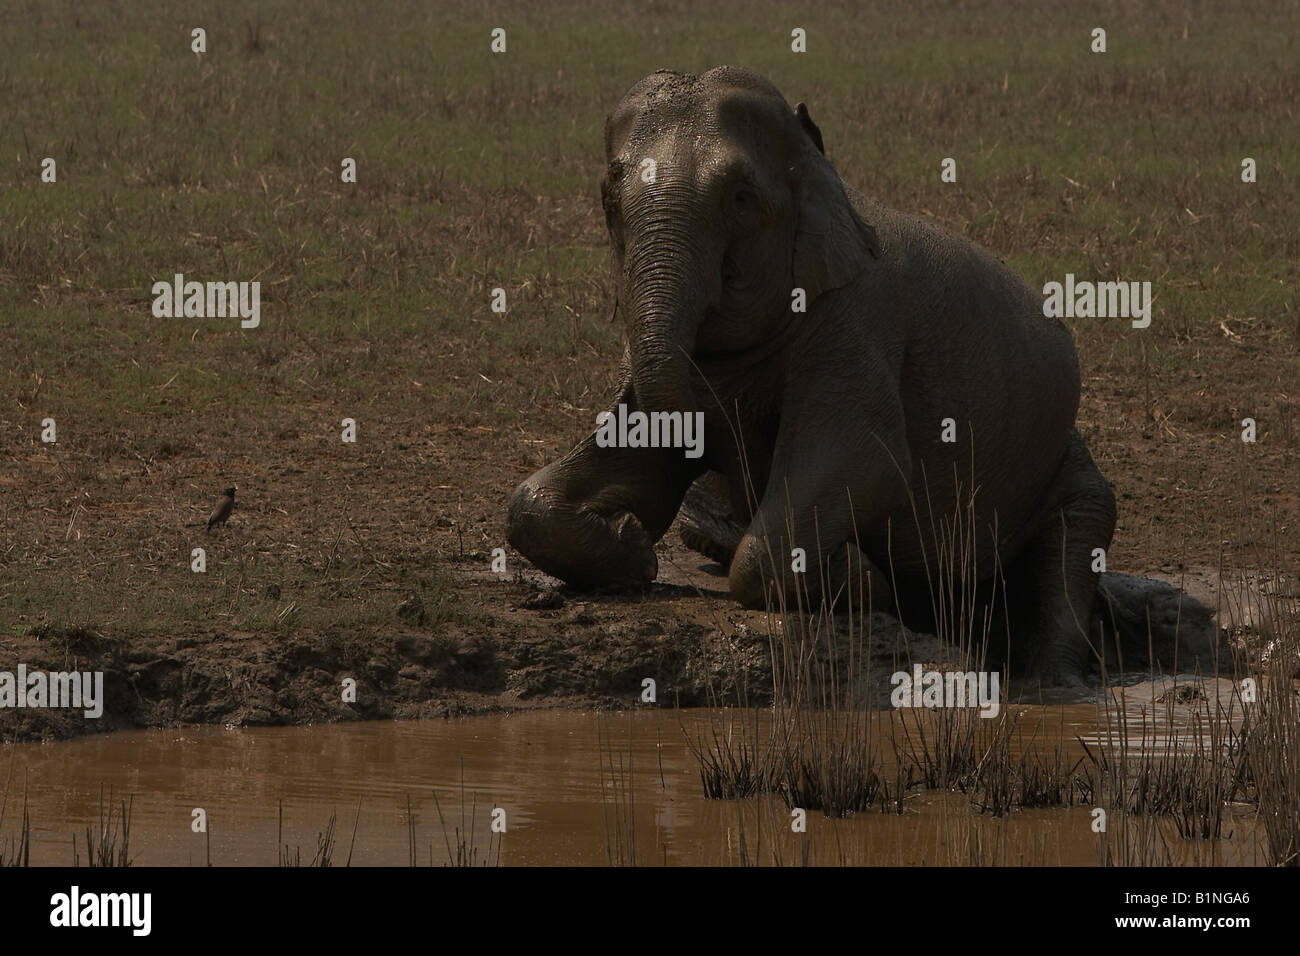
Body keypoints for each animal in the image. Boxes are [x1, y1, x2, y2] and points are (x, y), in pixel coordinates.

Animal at [506, 66, 1219, 685]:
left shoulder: (857, 320)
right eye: (608, 199)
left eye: (741, 198)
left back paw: (1056, 688)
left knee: (1074, 543)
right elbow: (581, 482)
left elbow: (864, 460)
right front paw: (631, 548)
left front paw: (868, 578)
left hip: (1065, 461)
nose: (629, 533)